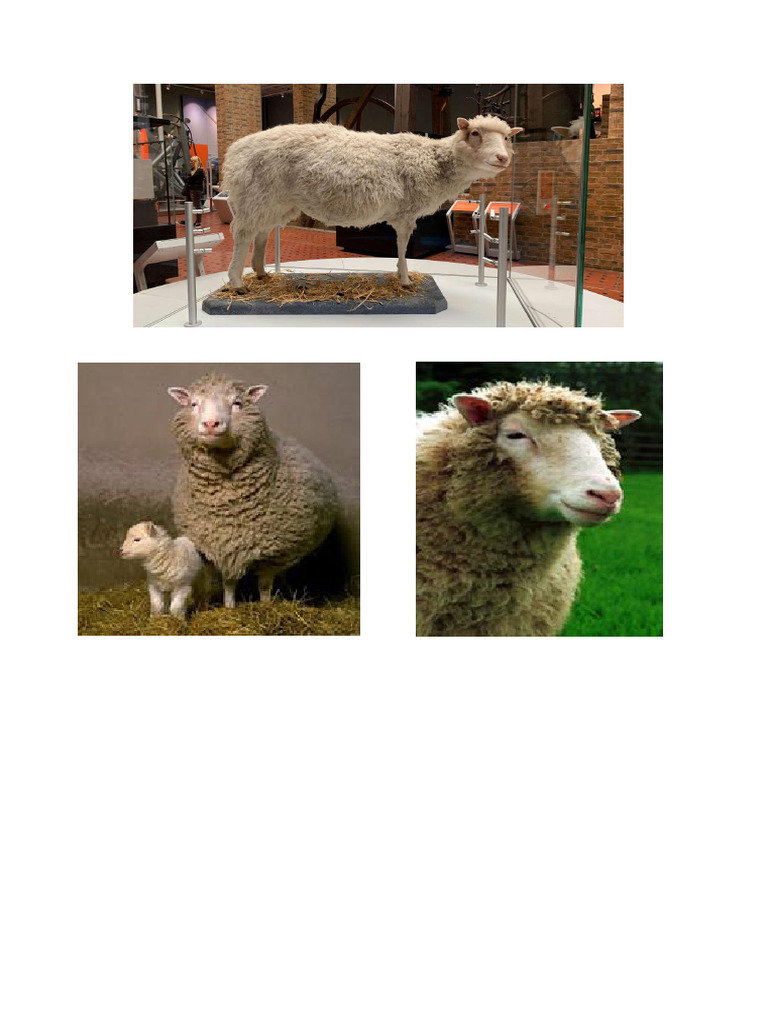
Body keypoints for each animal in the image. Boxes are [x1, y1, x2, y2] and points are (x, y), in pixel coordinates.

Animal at [167, 373, 339, 608]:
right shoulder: (222, 545)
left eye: (237, 403)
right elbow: (229, 583)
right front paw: (229, 608)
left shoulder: (275, 552)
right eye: (193, 404)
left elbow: (264, 585)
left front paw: (266, 606)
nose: (211, 424)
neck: (227, 502)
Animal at [222, 114, 524, 289]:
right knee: (243, 235)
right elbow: (402, 246)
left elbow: (402, 246)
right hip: (256, 196)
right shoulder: (406, 212)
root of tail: (234, 150)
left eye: (507, 138)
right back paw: (237, 282)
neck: (435, 161)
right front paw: (404, 280)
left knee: (261, 234)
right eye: (475, 134)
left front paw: (401, 276)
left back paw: (261, 273)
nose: (502, 158)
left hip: (273, 202)